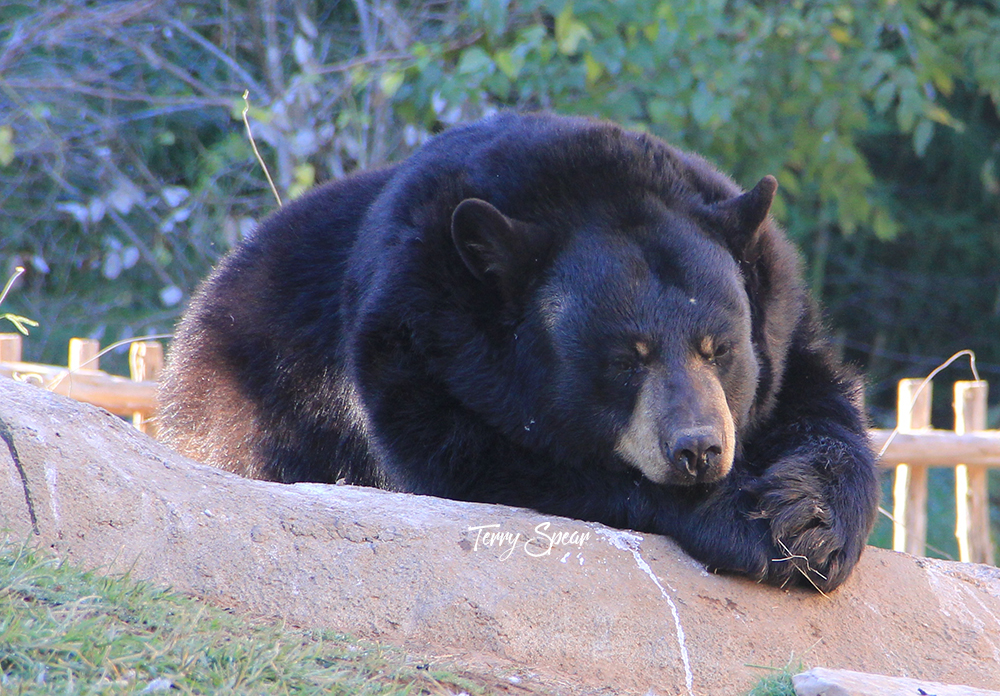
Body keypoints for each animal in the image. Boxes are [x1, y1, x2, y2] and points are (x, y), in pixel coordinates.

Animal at [158, 112, 879, 592]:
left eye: (720, 348)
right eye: (626, 358)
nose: (699, 449)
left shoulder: (782, 317)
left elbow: (822, 407)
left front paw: (808, 515)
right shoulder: (409, 334)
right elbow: (489, 463)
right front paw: (745, 521)